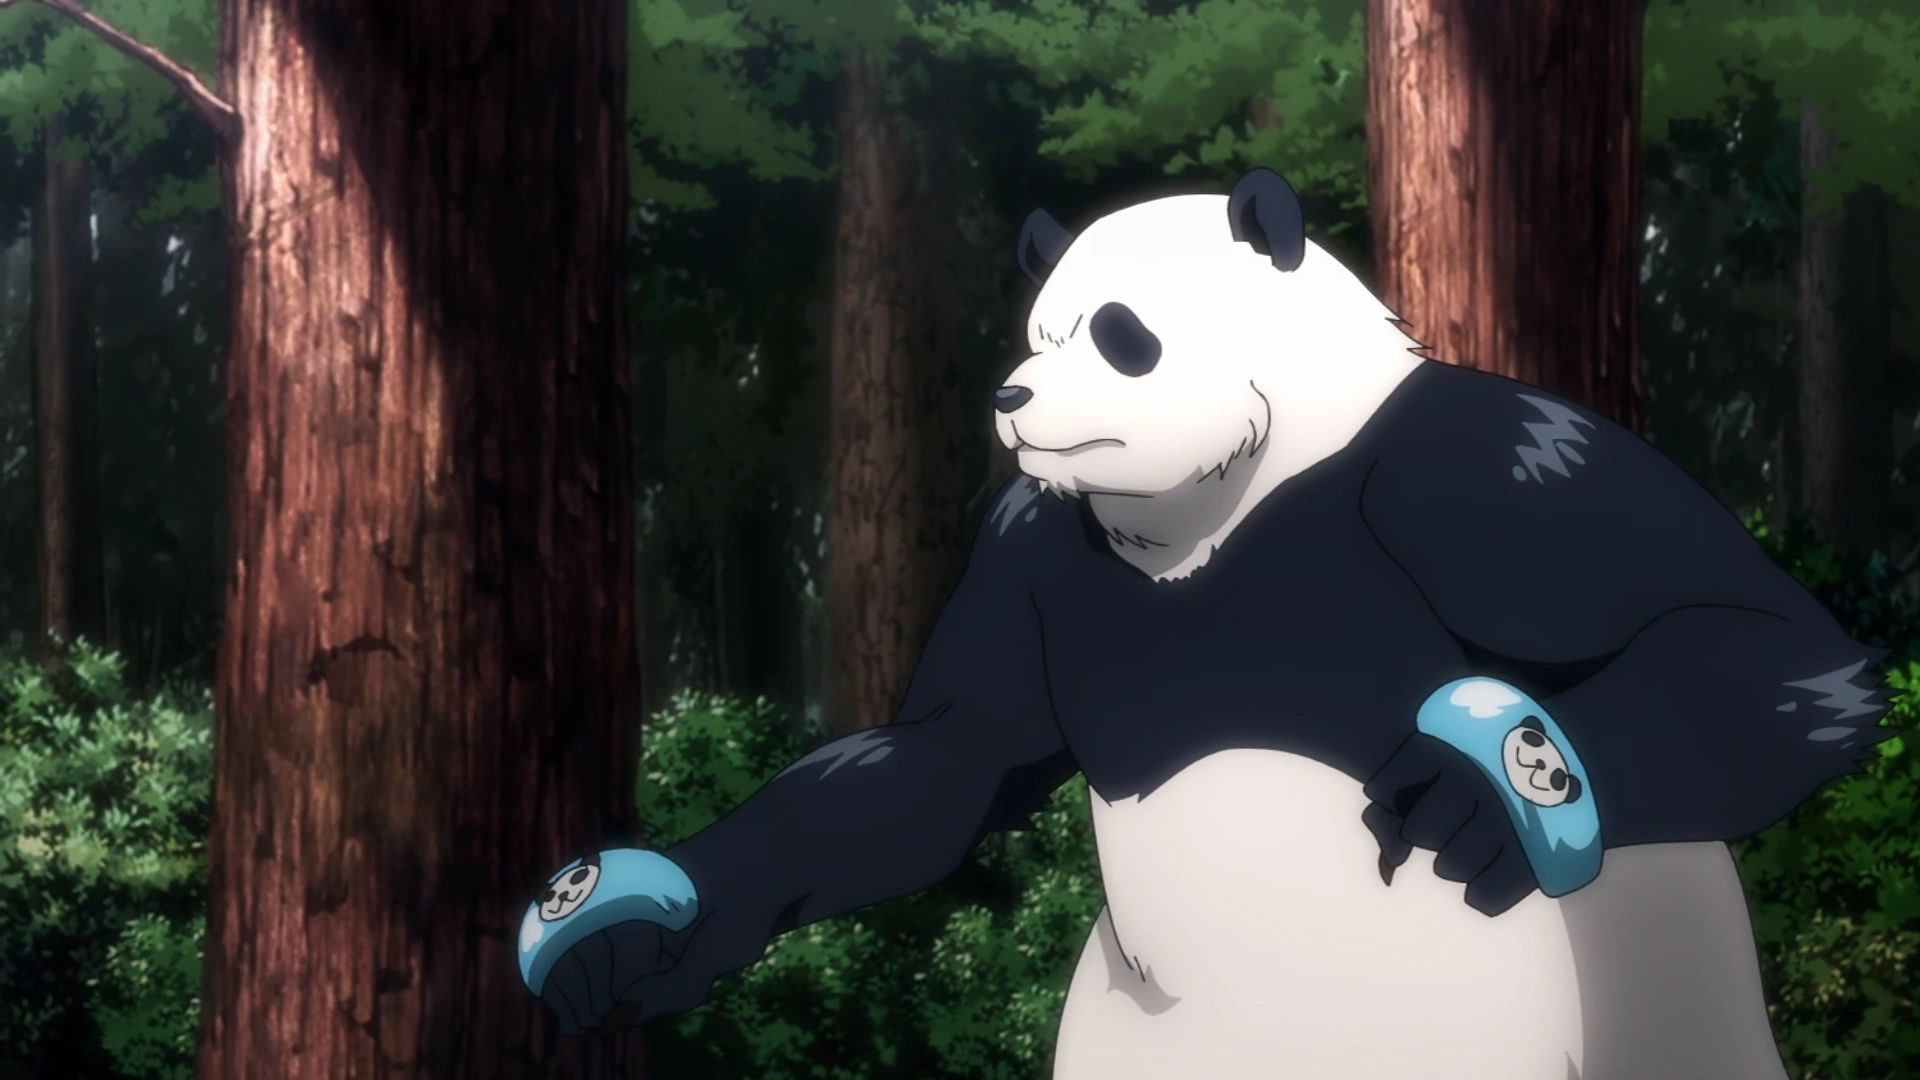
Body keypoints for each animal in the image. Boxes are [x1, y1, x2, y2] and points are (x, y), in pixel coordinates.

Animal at [520, 168, 1891, 1080]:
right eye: (1039, 332)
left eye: (1121, 335)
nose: (1010, 396)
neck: (1201, 515)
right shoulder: (1034, 550)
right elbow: (944, 758)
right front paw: (622, 928)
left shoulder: (1465, 477)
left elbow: (1768, 643)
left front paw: (1469, 797)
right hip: (1126, 1036)